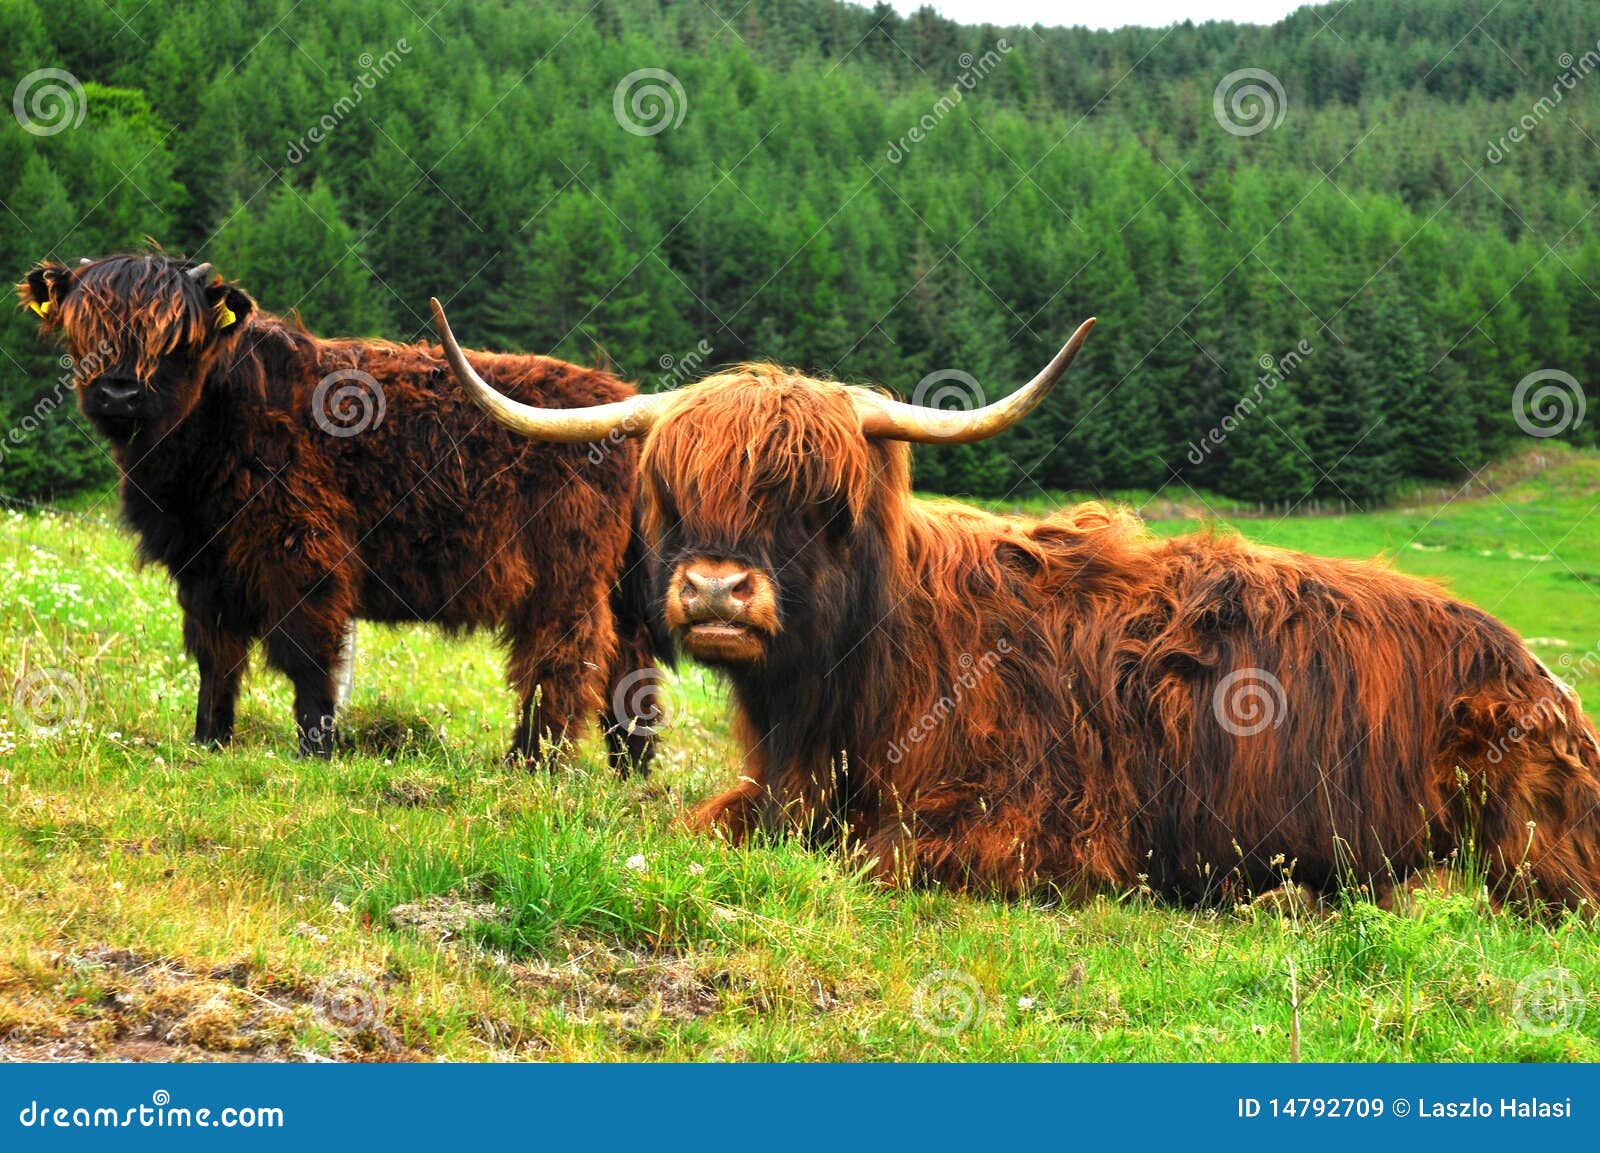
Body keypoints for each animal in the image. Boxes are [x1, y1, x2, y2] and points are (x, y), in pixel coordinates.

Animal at [18, 254, 661, 772]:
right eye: (84, 328)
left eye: (177, 338)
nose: (119, 392)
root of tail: (624, 405)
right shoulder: (203, 568)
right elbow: (215, 658)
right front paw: (208, 742)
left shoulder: (301, 551)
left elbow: (307, 656)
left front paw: (316, 752)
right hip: (621, 584)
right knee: (629, 671)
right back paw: (630, 775)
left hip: (565, 575)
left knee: (565, 657)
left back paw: (531, 764)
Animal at [432, 298, 1600, 910]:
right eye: (674, 492)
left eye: (821, 502)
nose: (717, 588)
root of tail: (1537, 676)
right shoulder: (776, 789)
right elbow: (702, 825)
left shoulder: (1044, 829)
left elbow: (875, 853)